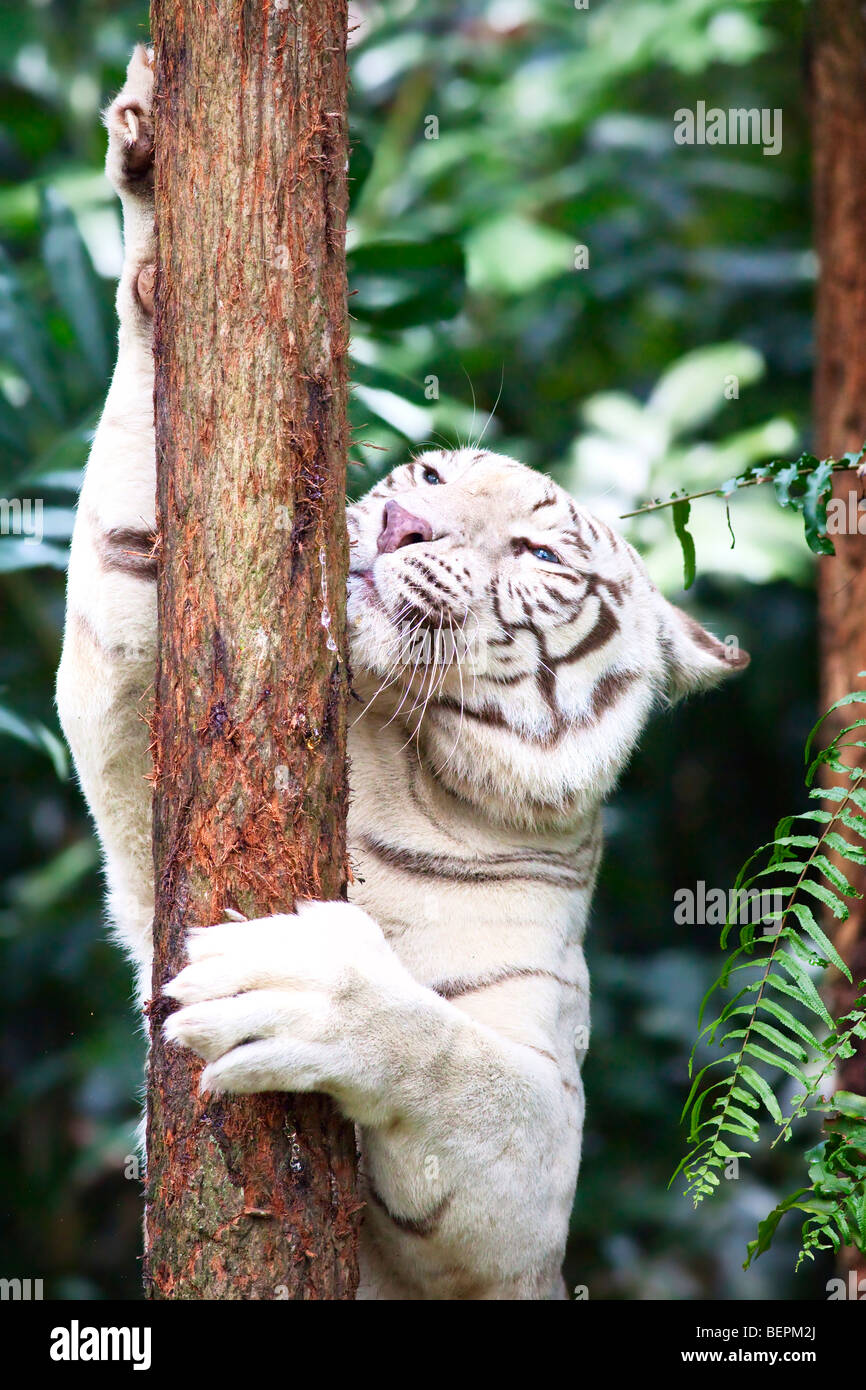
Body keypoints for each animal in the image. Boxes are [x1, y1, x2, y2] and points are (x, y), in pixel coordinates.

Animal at [56, 45, 749, 1301]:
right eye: (427, 471)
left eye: (536, 552)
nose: (402, 521)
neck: (398, 740)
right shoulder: (133, 726)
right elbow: (130, 518)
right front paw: (146, 162)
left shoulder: (539, 1153)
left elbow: (449, 1058)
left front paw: (301, 987)